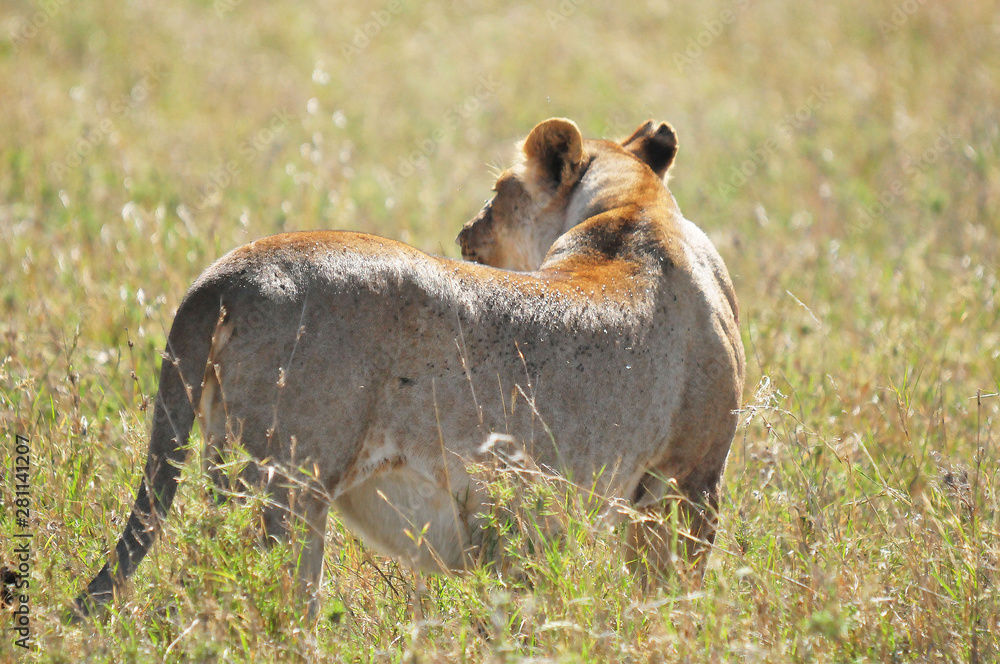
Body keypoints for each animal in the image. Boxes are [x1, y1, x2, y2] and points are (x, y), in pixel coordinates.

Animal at [75, 118, 744, 619]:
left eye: (497, 191)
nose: (465, 227)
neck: (632, 209)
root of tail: (225, 275)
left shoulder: (675, 482)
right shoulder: (688, 479)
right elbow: (667, 592)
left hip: (238, 467)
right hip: (289, 485)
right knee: (255, 593)